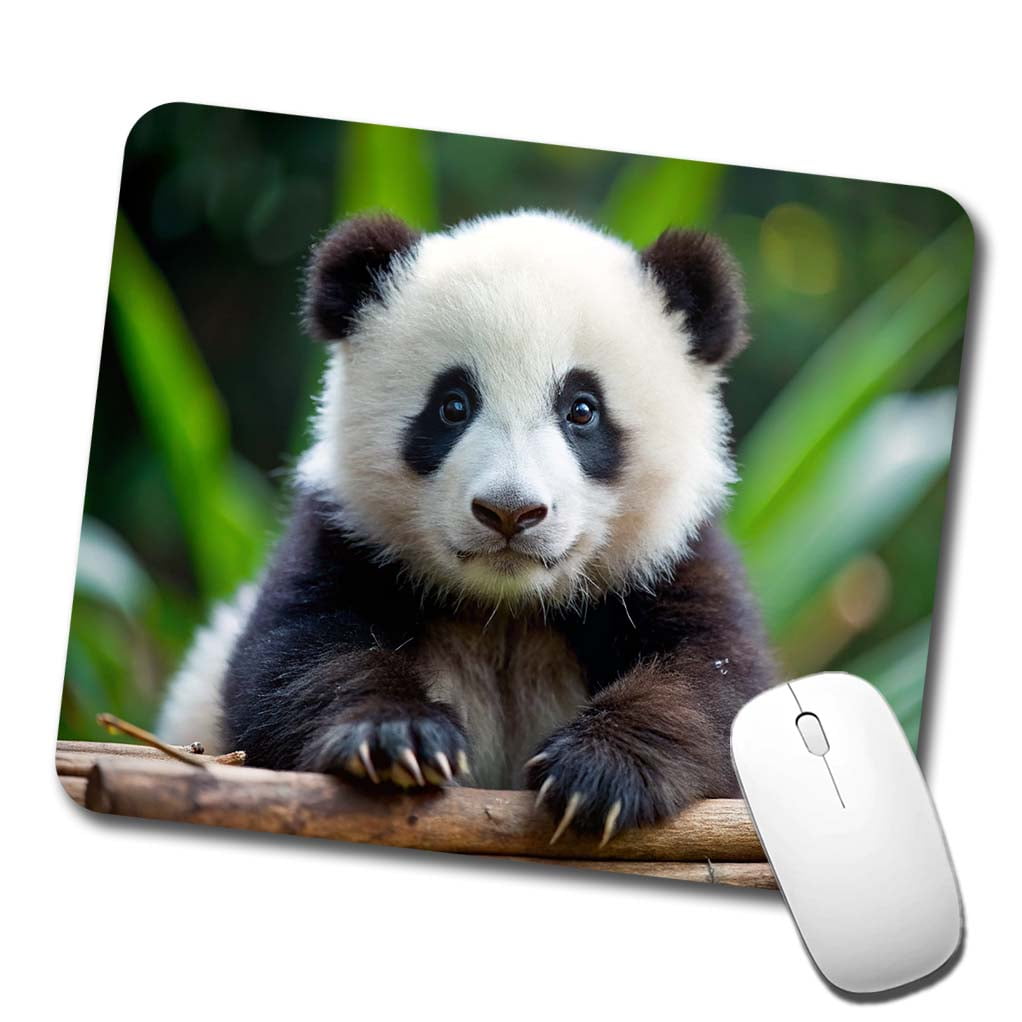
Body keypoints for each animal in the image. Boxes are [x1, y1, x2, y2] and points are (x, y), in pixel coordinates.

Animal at [158, 209, 774, 845]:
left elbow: (713, 683)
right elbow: (295, 662)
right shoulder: (347, 538)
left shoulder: (670, 556)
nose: (510, 512)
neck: (507, 608)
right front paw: (396, 740)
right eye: (453, 405)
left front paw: (599, 772)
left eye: (582, 410)